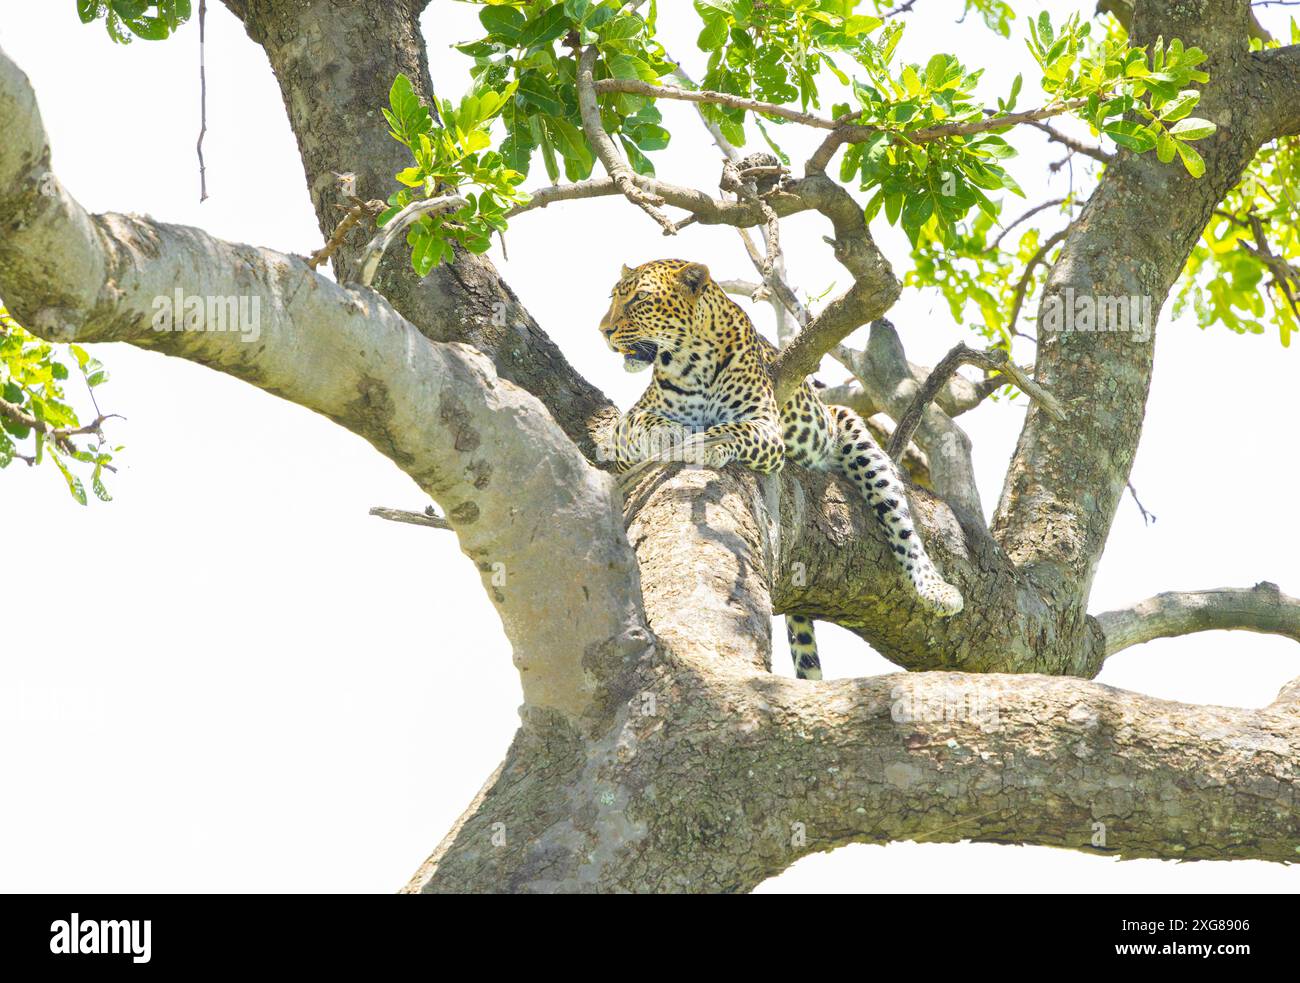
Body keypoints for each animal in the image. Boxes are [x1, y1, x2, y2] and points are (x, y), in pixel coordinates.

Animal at [599, 258, 963, 680]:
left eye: (640, 298)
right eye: (614, 298)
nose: (604, 330)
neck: (689, 361)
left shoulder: (766, 428)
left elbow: (730, 428)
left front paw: (707, 443)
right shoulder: (624, 429)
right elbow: (645, 424)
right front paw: (673, 432)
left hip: (849, 428)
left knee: (899, 519)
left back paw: (935, 588)